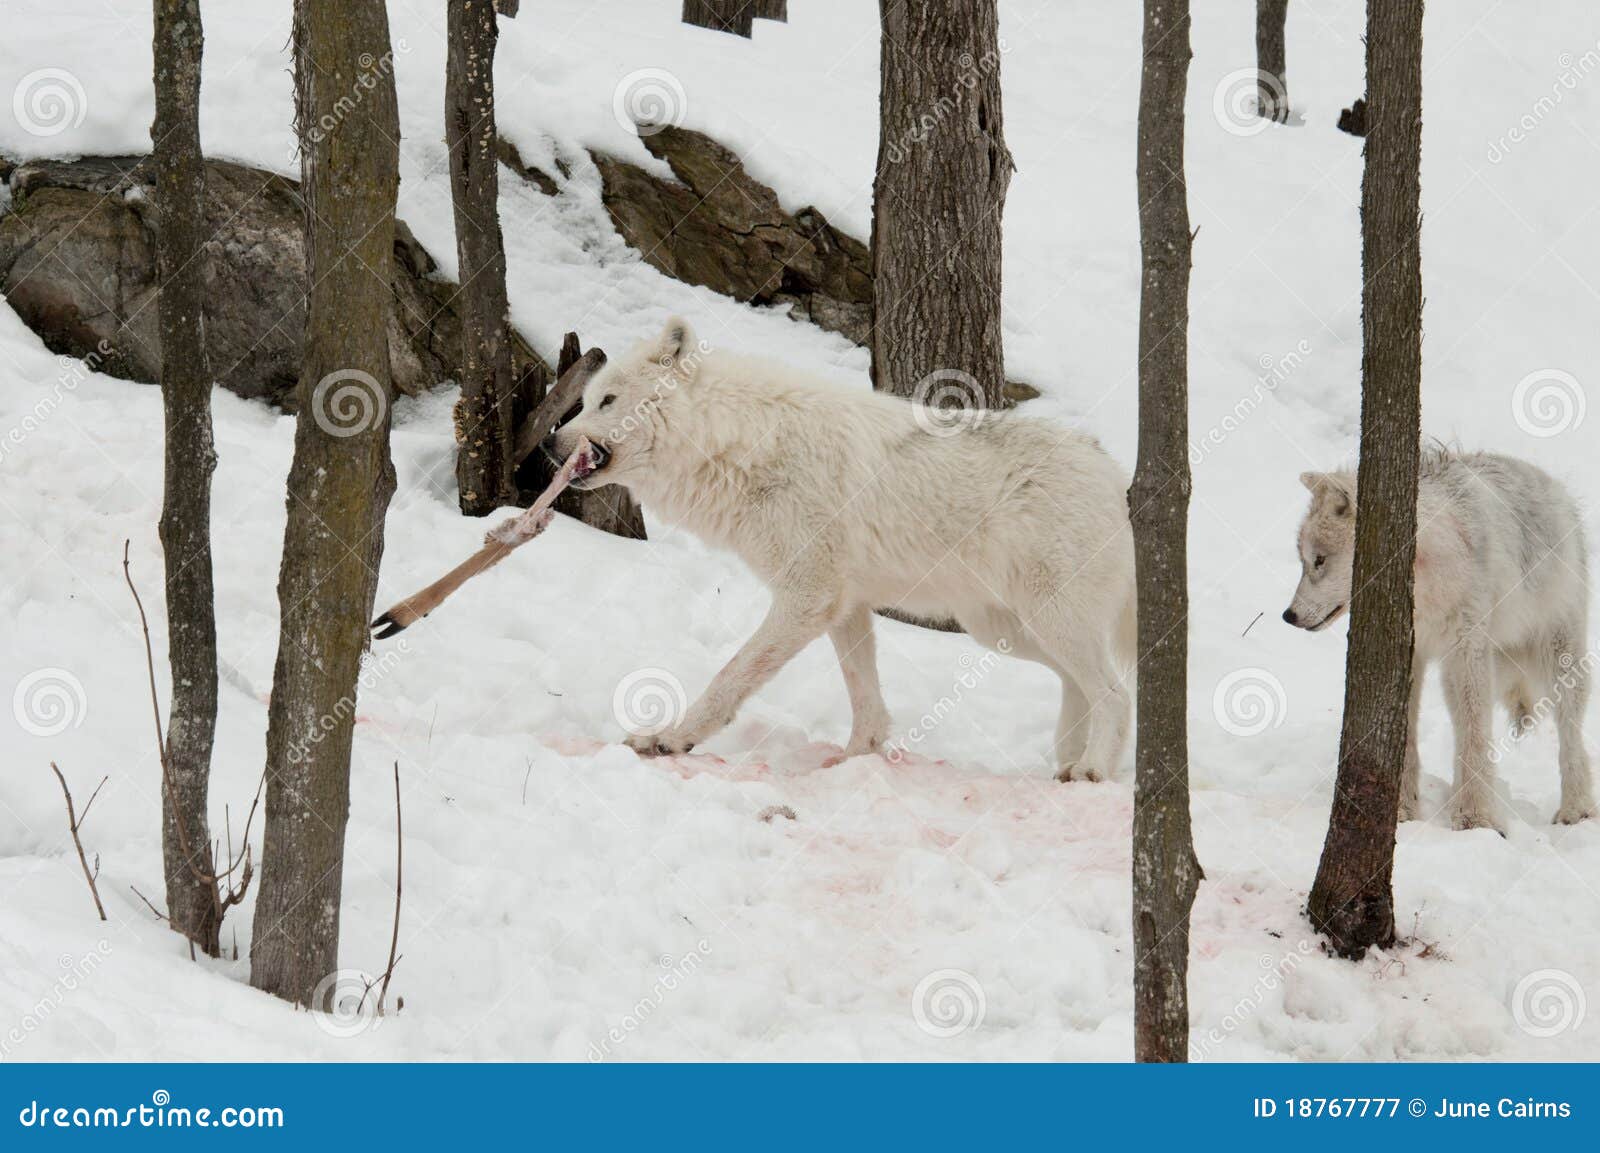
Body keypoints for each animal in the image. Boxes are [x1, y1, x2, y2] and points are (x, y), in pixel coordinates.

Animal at [547, 318, 1137, 781]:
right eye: (586, 401)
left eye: (607, 401)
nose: (551, 443)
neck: (740, 445)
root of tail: (1111, 470)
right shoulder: (845, 605)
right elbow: (864, 696)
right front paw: (858, 759)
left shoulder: (808, 596)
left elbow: (730, 675)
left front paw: (670, 739)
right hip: (1001, 628)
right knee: (1078, 682)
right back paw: (1069, 760)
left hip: (1045, 618)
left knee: (1114, 692)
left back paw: (1092, 770)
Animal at [1284, 450, 1595, 830]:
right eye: (1303, 561)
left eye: (1319, 560)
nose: (1289, 615)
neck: (1427, 575)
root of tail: (1560, 492)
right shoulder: (1411, 651)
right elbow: (1409, 737)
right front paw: (1402, 813)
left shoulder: (1468, 648)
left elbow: (1476, 733)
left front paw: (1476, 820)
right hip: (1460, 673)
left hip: (1556, 656)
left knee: (1570, 735)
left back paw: (1576, 810)